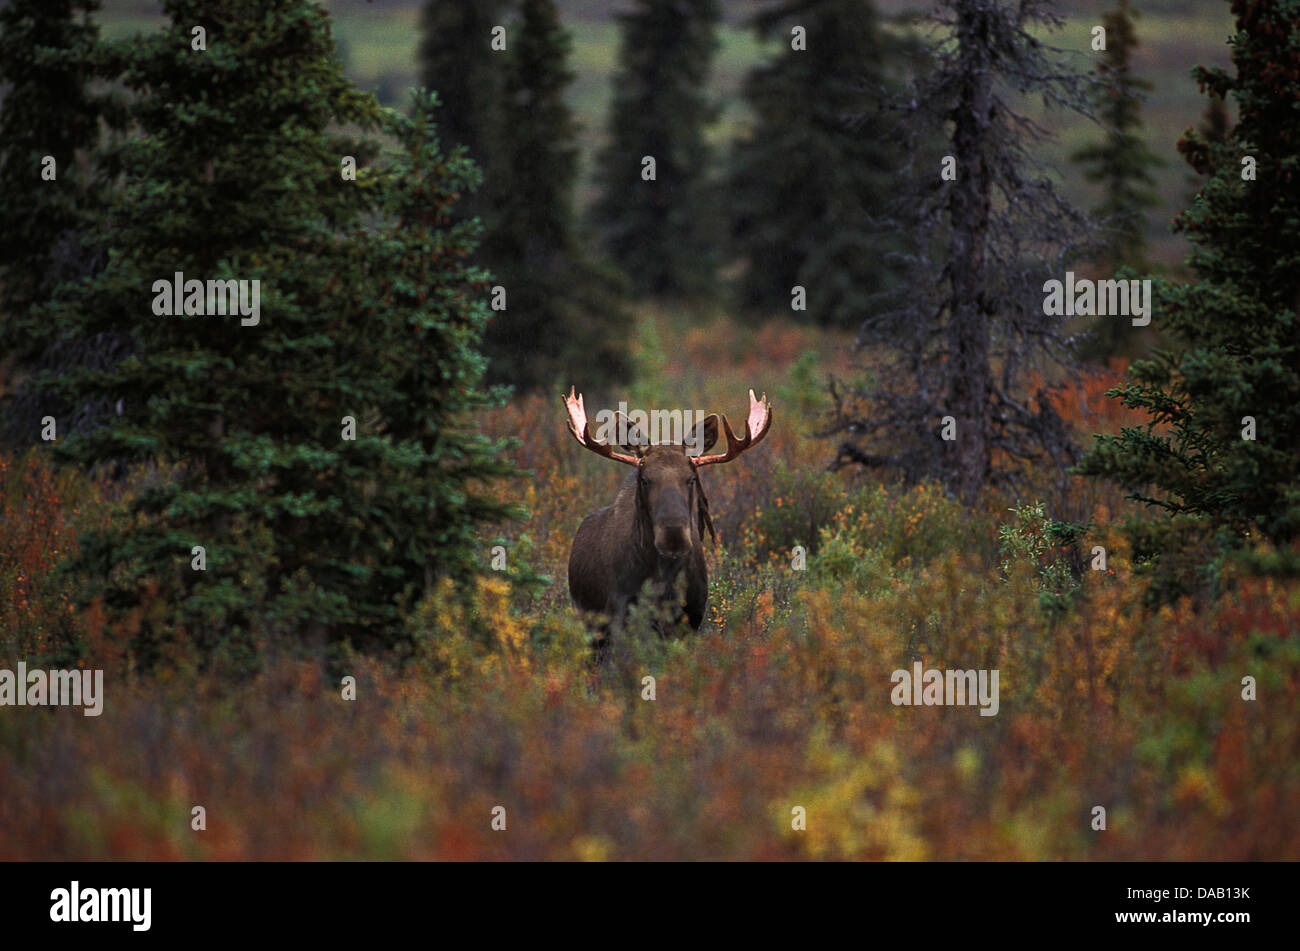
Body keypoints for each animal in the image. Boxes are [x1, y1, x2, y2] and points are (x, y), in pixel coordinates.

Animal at [562, 387, 772, 657]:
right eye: (644, 479)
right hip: (589, 624)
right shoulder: (619, 615)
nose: (673, 536)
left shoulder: (692, 617)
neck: (664, 577)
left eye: (691, 478)